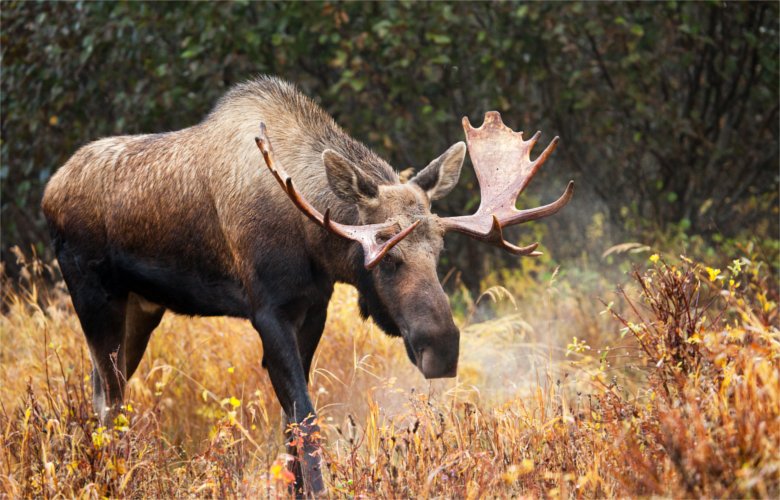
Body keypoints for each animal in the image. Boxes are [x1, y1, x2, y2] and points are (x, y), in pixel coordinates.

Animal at [41, 76, 573, 494]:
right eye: (386, 257)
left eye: (439, 251)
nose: (442, 347)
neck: (312, 239)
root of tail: (50, 191)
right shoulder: (267, 310)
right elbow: (307, 417)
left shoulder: (312, 307)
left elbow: (290, 423)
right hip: (94, 295)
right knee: (109, 399)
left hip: (142, 307)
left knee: (103, 391)